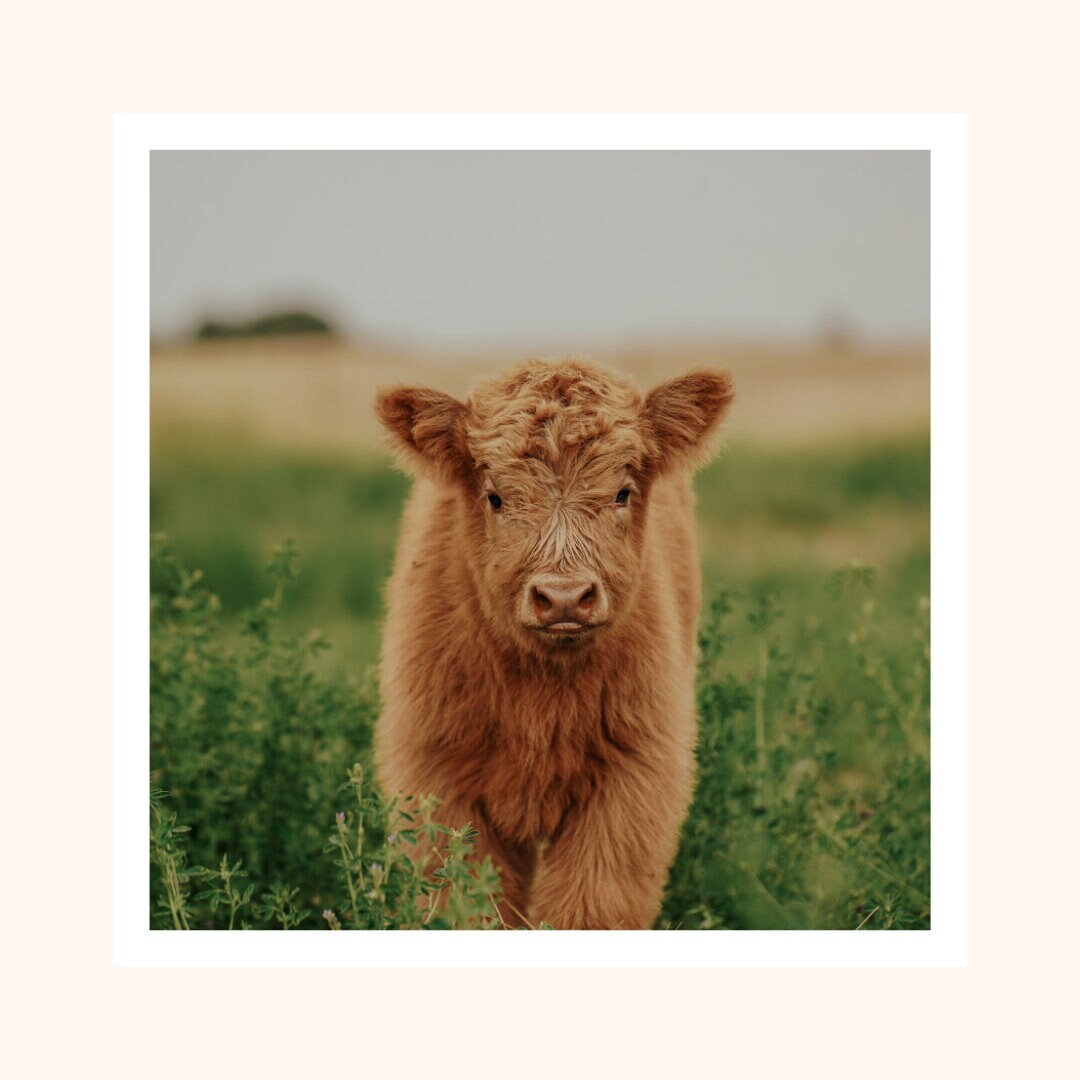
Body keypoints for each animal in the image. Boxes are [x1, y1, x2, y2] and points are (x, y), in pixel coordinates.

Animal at [374, 358, 734, 929]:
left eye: (621, 492)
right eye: (495, 496)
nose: (564, 597)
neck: (541, 697)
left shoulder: (633, 775)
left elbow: (591, 903)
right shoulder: (437, 768)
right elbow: (466, 899)